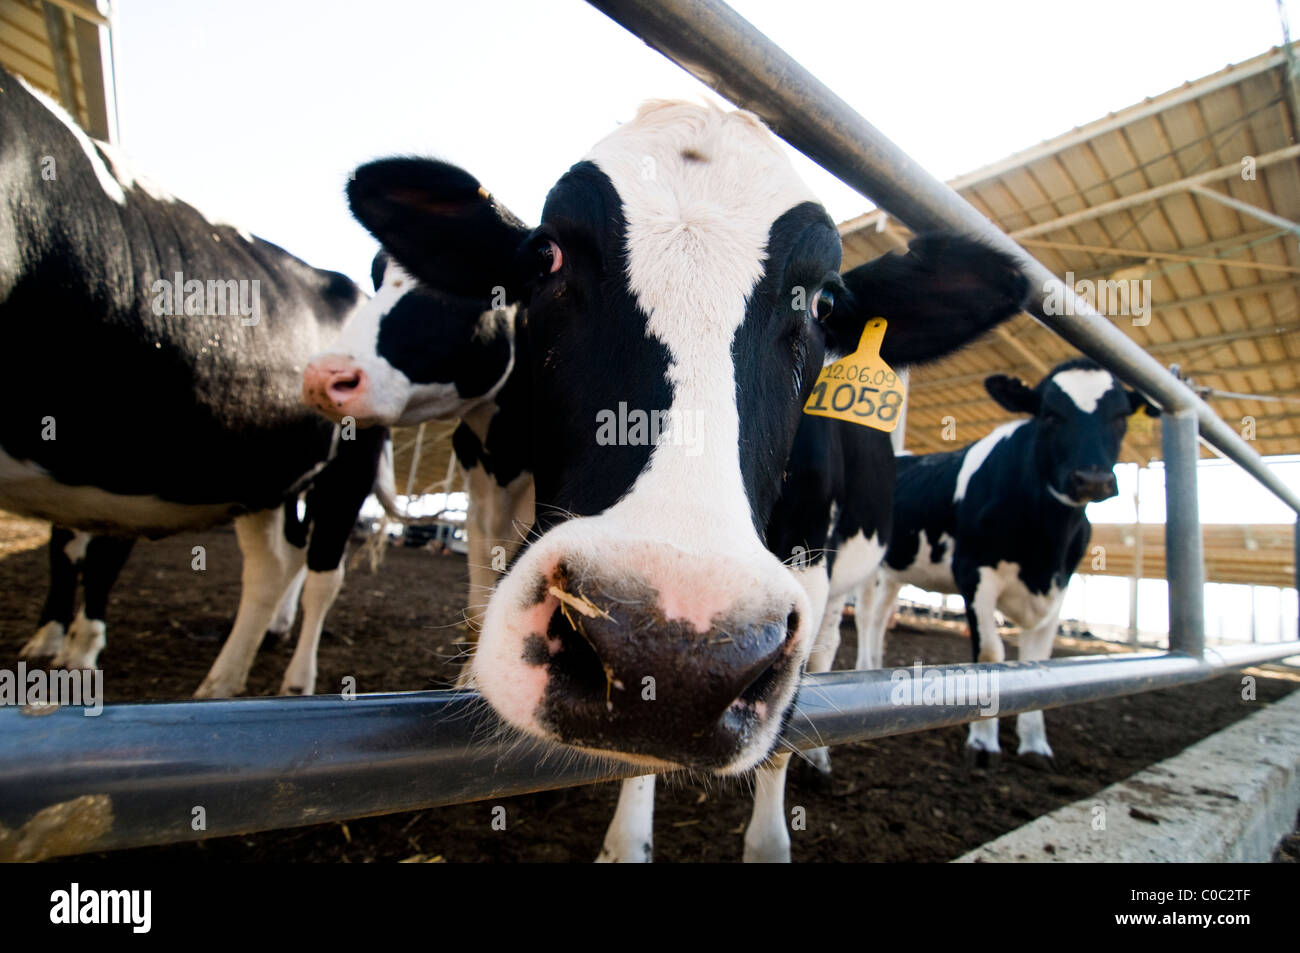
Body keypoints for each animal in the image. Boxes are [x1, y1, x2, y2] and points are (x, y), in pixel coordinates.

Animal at [0, 68, 387, 697]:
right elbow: (64, 551)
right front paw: (48, 638)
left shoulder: (129, 462)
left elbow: (101, 558)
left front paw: (81, 651)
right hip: (262, 475)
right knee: (274, 566)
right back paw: (221, 682)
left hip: (347, 468)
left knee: (322, 573)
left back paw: (296, 680)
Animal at [855, 358, 1160, 767]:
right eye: (1049, 414)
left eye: (1121, 416)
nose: (1092, 479)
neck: (1044, 548)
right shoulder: (973, 571)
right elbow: (990, 654)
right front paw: (983, 741)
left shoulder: (1059, 587)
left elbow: (1038, 661)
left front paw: (1034, 745)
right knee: (864, 616)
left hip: (896, 570)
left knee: (879, 618)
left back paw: (874, 667)